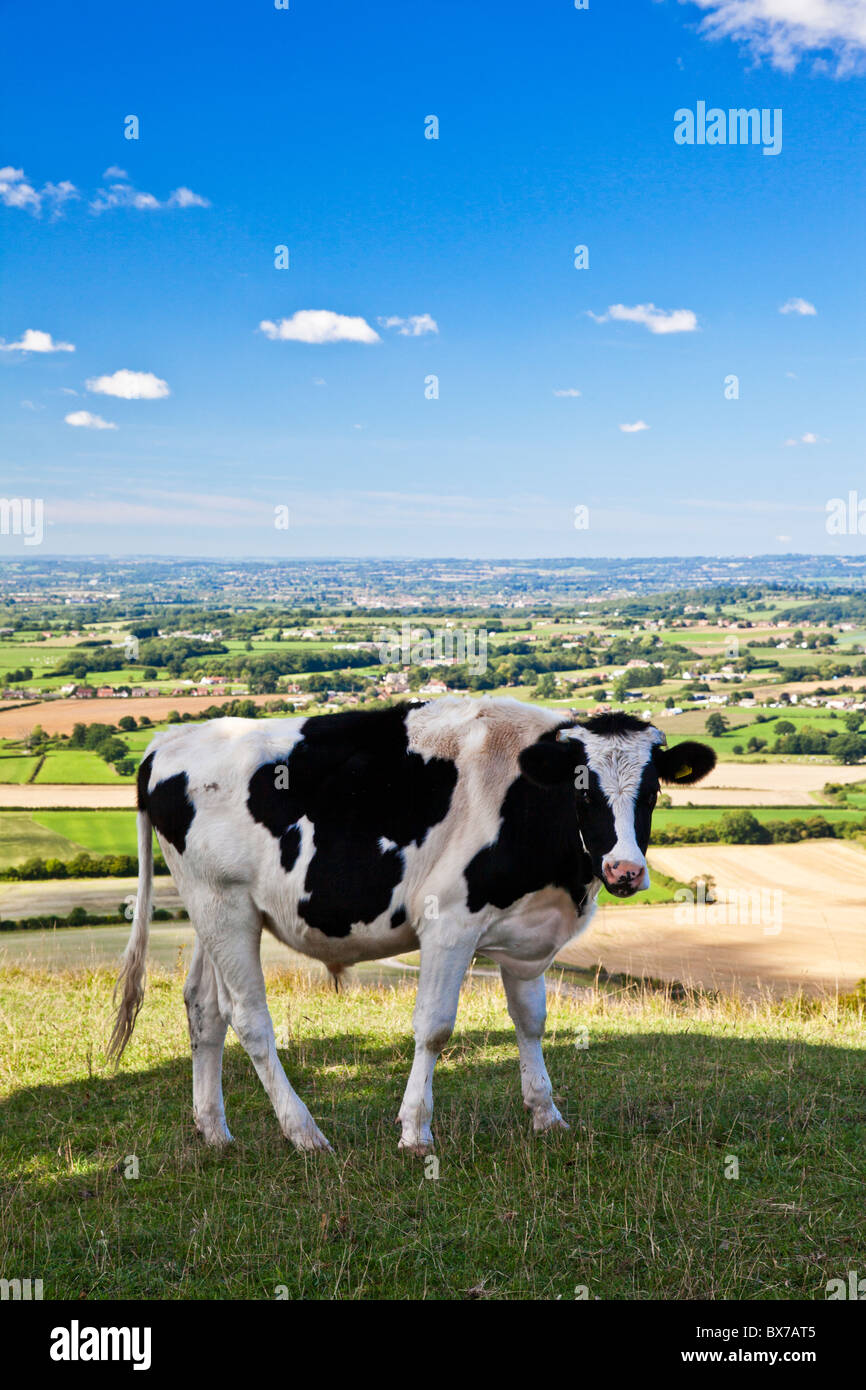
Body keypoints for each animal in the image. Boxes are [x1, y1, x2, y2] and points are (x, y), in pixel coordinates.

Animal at [109, 697, 715, 1154]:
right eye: (582, 788)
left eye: (652, 791)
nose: (625, 870)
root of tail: (170, 740)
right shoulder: (449, 924)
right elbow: (434, 1028)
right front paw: (415, 1130)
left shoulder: (527, 933)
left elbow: (532, 1022)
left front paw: (546, 1115)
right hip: (224, 904)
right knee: (249, 1018)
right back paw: (304, 1132)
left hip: (214, 908)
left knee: (203, 1008)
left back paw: (214, 1130)